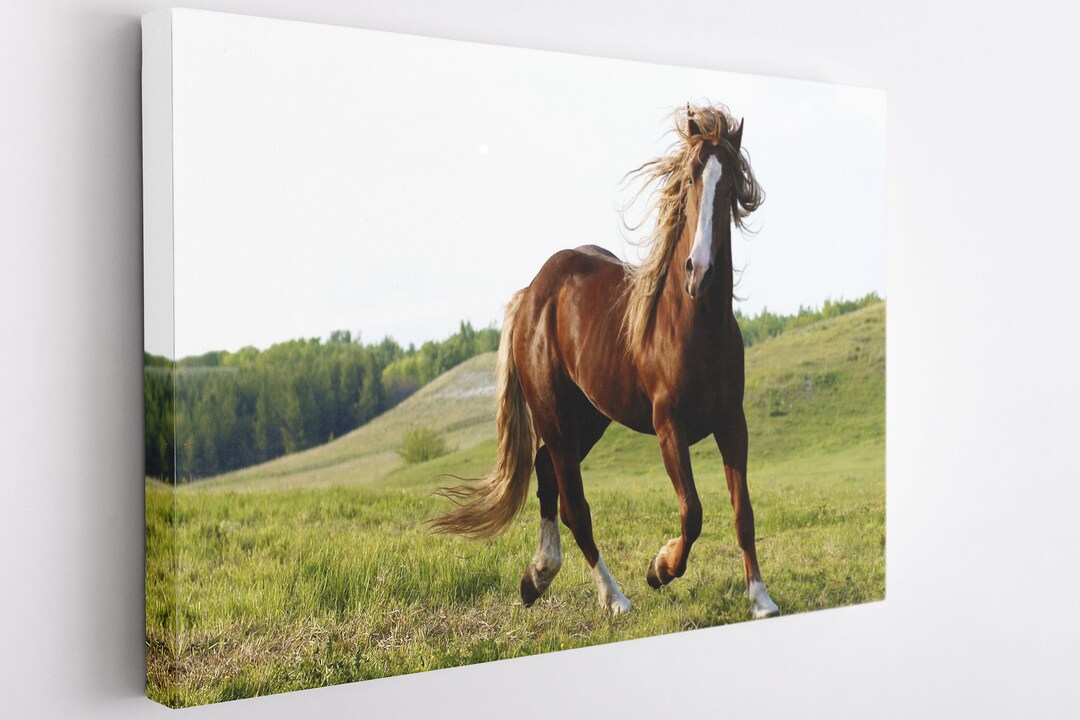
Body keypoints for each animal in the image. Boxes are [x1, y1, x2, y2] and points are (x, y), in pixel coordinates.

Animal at [430, 103, 779, 620]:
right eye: (690, 179)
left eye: (732, 183)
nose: (699, 272)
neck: (694, 323)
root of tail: (532, 294)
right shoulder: (669, 426)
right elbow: (693, 513)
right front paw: (659, 568)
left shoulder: (732, 421)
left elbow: (743, 512)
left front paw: (760, 597)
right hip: (556, 418)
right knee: (575, 505)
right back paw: (614, 597)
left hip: (589, 419)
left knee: (547, 475)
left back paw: (537, 577)